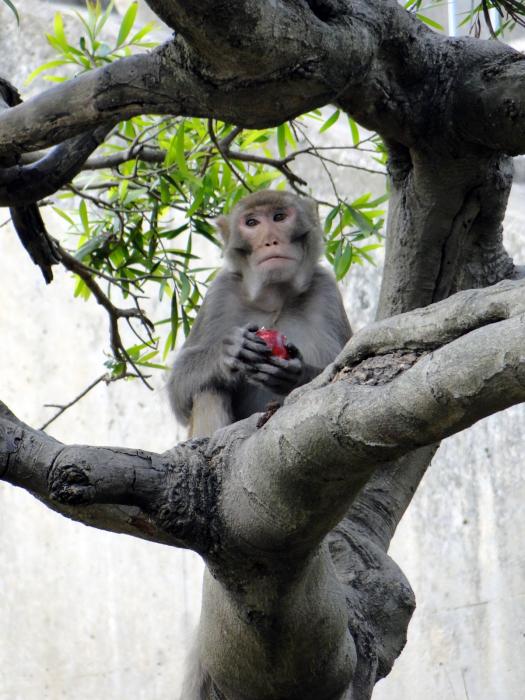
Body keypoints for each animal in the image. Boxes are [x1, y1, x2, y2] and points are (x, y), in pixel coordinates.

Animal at [168, 189, 352, 438]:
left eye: (279, 217)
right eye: (252, 223)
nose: (270, 240)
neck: (274, 301)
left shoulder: (326, 292)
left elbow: (338, 372)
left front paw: (297, 373)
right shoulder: (219, 294)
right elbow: (178, 389)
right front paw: (228, 351)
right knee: (208, 389)